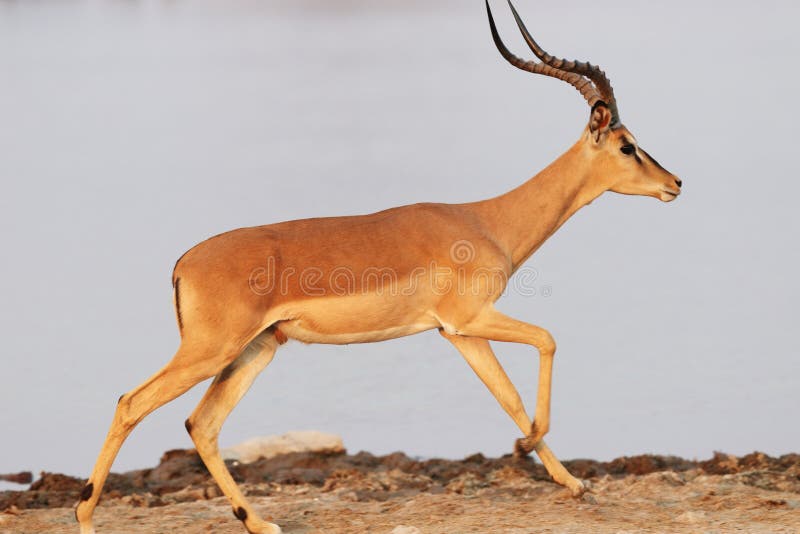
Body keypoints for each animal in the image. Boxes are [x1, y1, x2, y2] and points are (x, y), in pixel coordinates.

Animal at [76, 2, 682, 533]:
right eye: (627, 145)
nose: (675, 183)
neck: (487, 220)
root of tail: (183, 261)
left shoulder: (456, 333)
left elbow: (506, 396)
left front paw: (570, 481)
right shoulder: (472, 318)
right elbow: (548, 340)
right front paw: (533, 449)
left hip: (257, 348)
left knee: (201, 423)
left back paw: (259, 521)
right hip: (211, 350)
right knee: (133, 403)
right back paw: (85, 516)